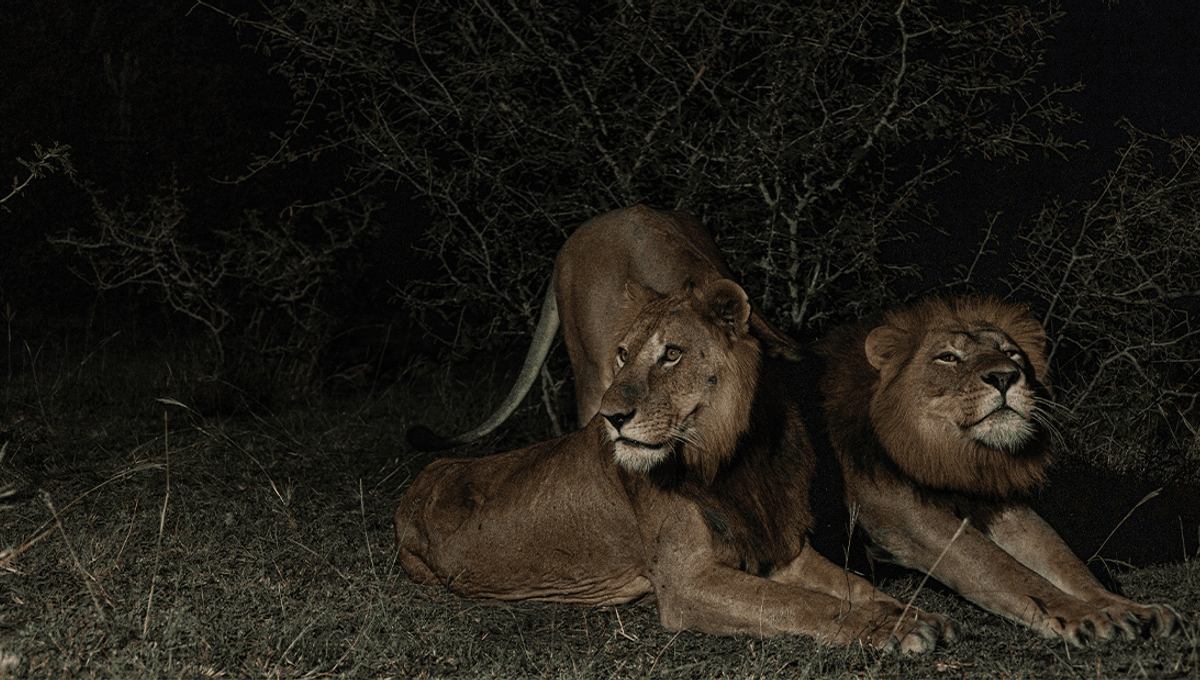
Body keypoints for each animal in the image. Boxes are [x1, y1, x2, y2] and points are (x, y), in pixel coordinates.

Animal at [397, 280, 956, 652]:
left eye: (672, 354)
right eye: (622, 354)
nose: (610, 416)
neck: (732, 458)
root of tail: (417, 482)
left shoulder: (779, 547)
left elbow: (855, 585)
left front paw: (912, 612)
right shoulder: (687, 583)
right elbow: (803, 604)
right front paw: (894, 628)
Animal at [817, 296, 1182, 646]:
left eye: (1010, 353)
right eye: (948, 357)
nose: (1005, 376)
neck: (950, 456)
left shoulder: (993, 501)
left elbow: (1066, 564)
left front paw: (1131, 609)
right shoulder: (902, 512)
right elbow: (1003, 569)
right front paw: (1087, 616)